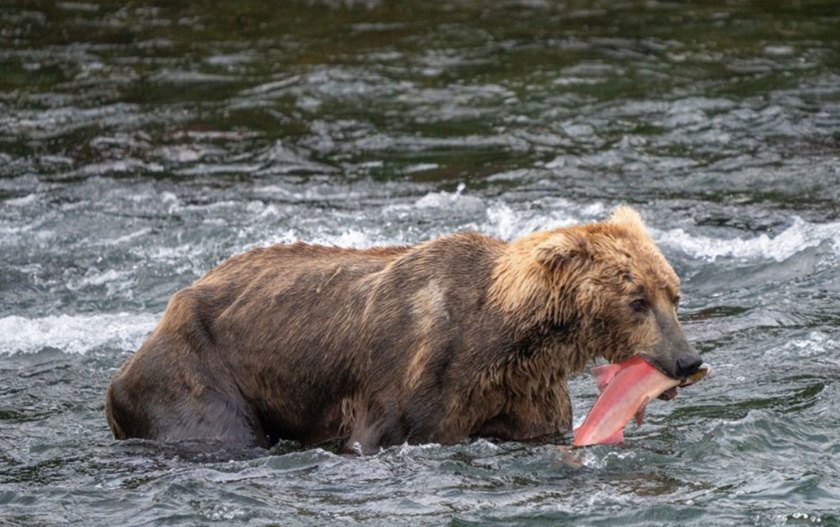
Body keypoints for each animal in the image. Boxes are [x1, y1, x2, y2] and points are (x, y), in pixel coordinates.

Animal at [105, 206, 702, 453]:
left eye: (673, 294)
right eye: (636, 300)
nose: (688, 361)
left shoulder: (522, 392)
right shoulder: (413, 383)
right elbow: (385, 432)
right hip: (195, 373)